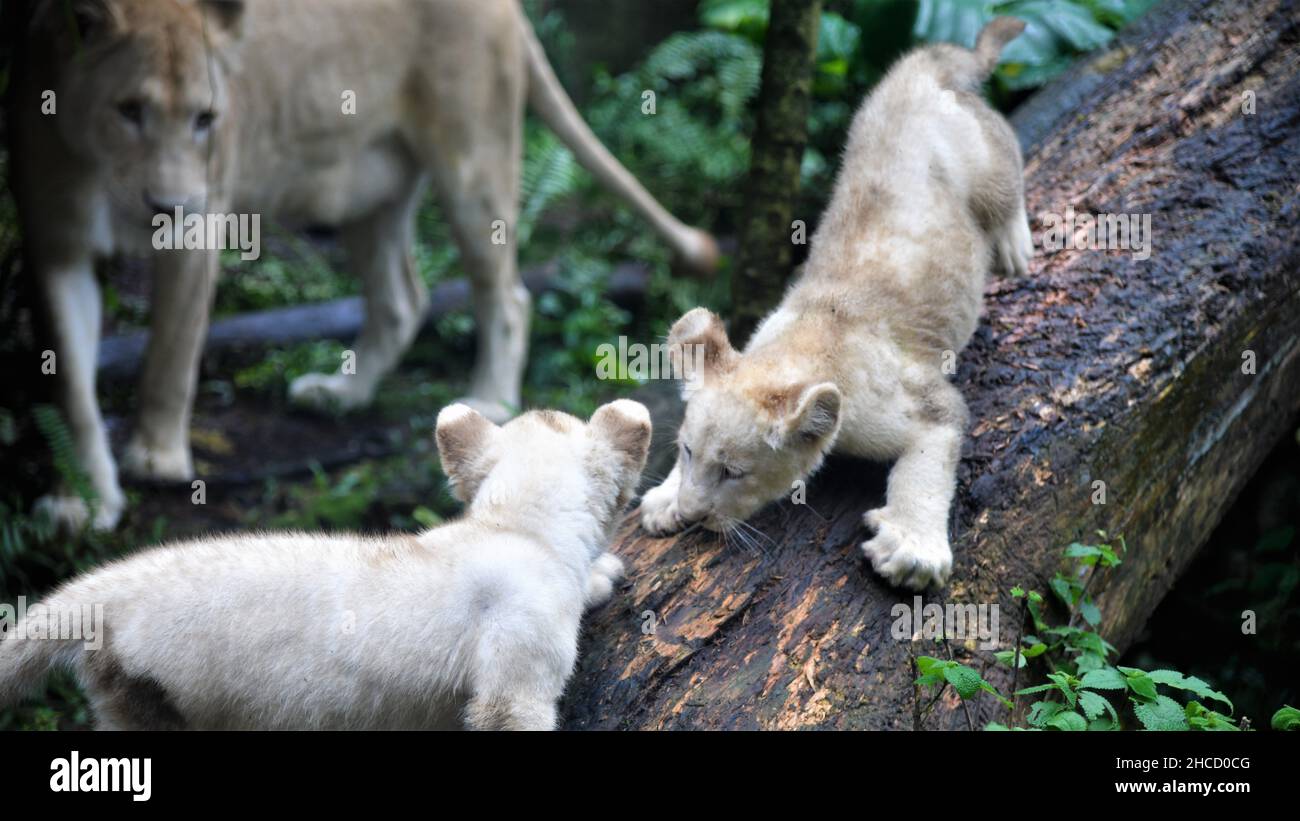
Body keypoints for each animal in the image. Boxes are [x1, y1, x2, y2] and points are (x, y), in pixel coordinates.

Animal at [10, 0, 717, 531]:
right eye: (129, 110)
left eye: (205, 119)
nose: (169, 207)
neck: (103, 172)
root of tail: (511, 9)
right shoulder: (53, 239)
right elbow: (69, 382)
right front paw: (79, 501)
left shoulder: (202, 221)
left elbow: (170, 353)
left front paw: (154, 459)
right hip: (368, 190)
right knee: (402, 298)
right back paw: (341, 394)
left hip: (471, 159)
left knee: (507, 294)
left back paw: (487, 396)